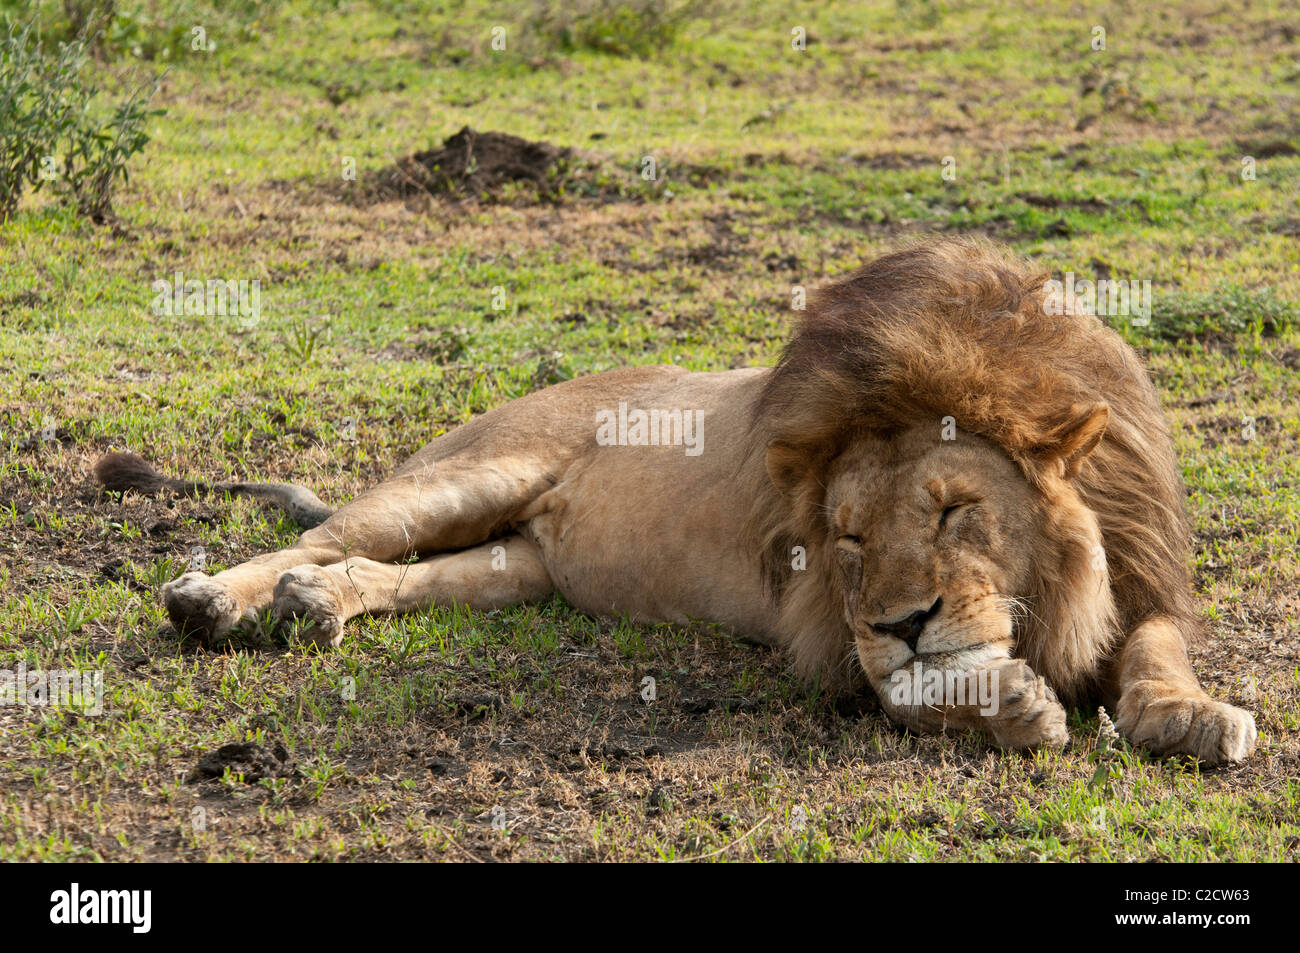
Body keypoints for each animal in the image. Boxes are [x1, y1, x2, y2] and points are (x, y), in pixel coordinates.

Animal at [94, 238, 1257, 763]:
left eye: (954, 508)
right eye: (846, 536)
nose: (905, 617)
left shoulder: (1145, 576)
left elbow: (1156, 647)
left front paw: (1192, 714)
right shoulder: (828, 637)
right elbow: (908, 688)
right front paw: (1012, 703)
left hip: (515, 569)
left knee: (384, 572)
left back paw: (316, 606)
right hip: (466, 475)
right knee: (329, 534)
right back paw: (212, 598)